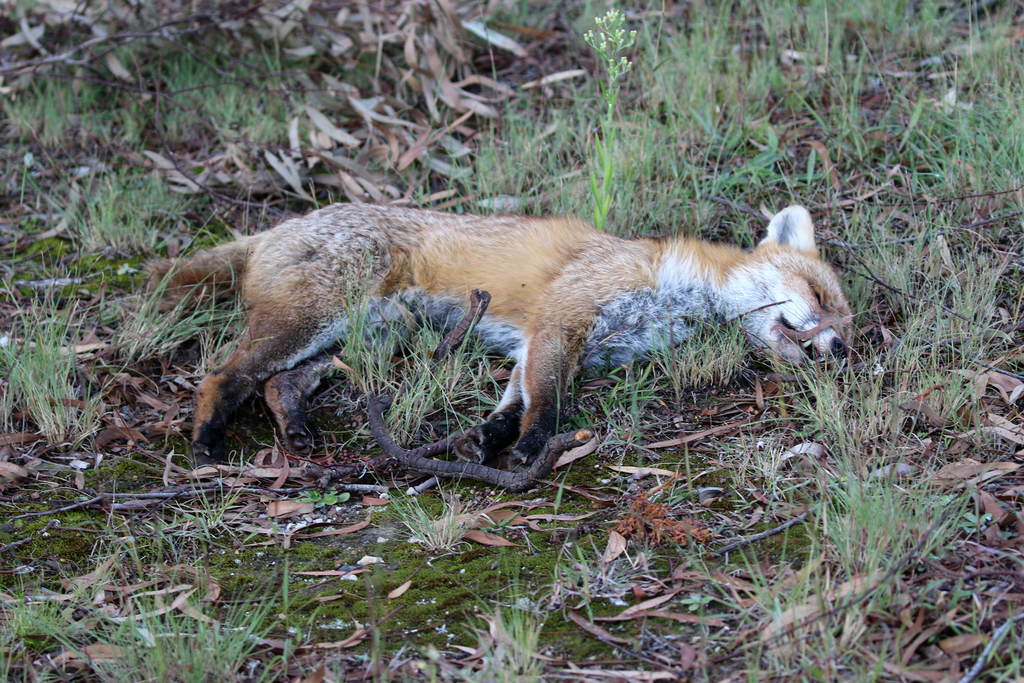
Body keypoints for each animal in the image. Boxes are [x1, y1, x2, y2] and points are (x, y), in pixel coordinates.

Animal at [146, 203, 852, 466]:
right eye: (818, 299)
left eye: (846, 327)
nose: (838, 350)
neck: (675, 291)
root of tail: (279, 225)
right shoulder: (563, 318)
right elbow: (547, 406)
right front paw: (531, 449)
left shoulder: (552, 346)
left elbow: (512, 403)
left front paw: (485, 440)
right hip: (313, 321)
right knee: (223, 375)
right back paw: (206, 438)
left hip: (364, 338)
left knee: (278, 385)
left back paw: (294, 429)